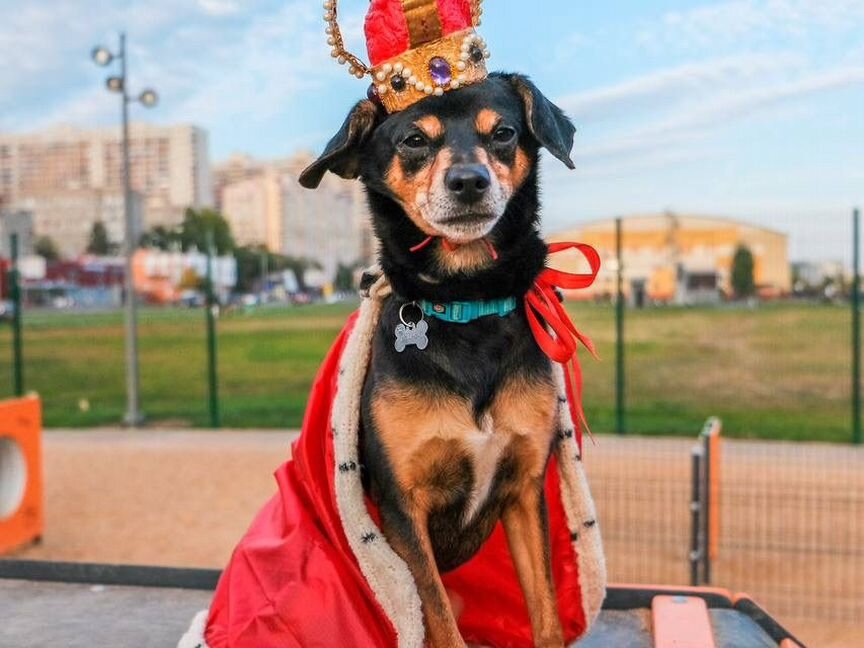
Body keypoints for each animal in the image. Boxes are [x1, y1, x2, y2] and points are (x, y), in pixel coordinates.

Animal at [300, 71, 576, 648]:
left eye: (504, 133)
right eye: (414, 140)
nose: (469, 182)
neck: (467, 303)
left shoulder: (524, 489)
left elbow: (546, 616)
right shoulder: (404, 508)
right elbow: (440, 622)